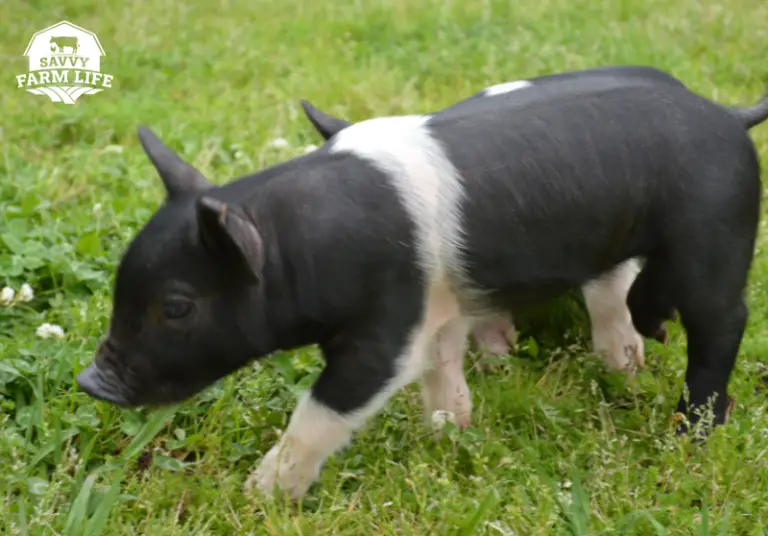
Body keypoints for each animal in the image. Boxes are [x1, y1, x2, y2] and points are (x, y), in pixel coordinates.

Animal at [76, 65, 768, 501]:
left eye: (177, 308)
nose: (91, 381)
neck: (302, 247)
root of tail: (728, 116)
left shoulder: (388, 320)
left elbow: (327, 407)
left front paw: (258, 496)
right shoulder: (437, 306)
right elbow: (441, 365)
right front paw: (447, 429)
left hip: (716, 228)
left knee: (722, 320)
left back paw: (689, 433)